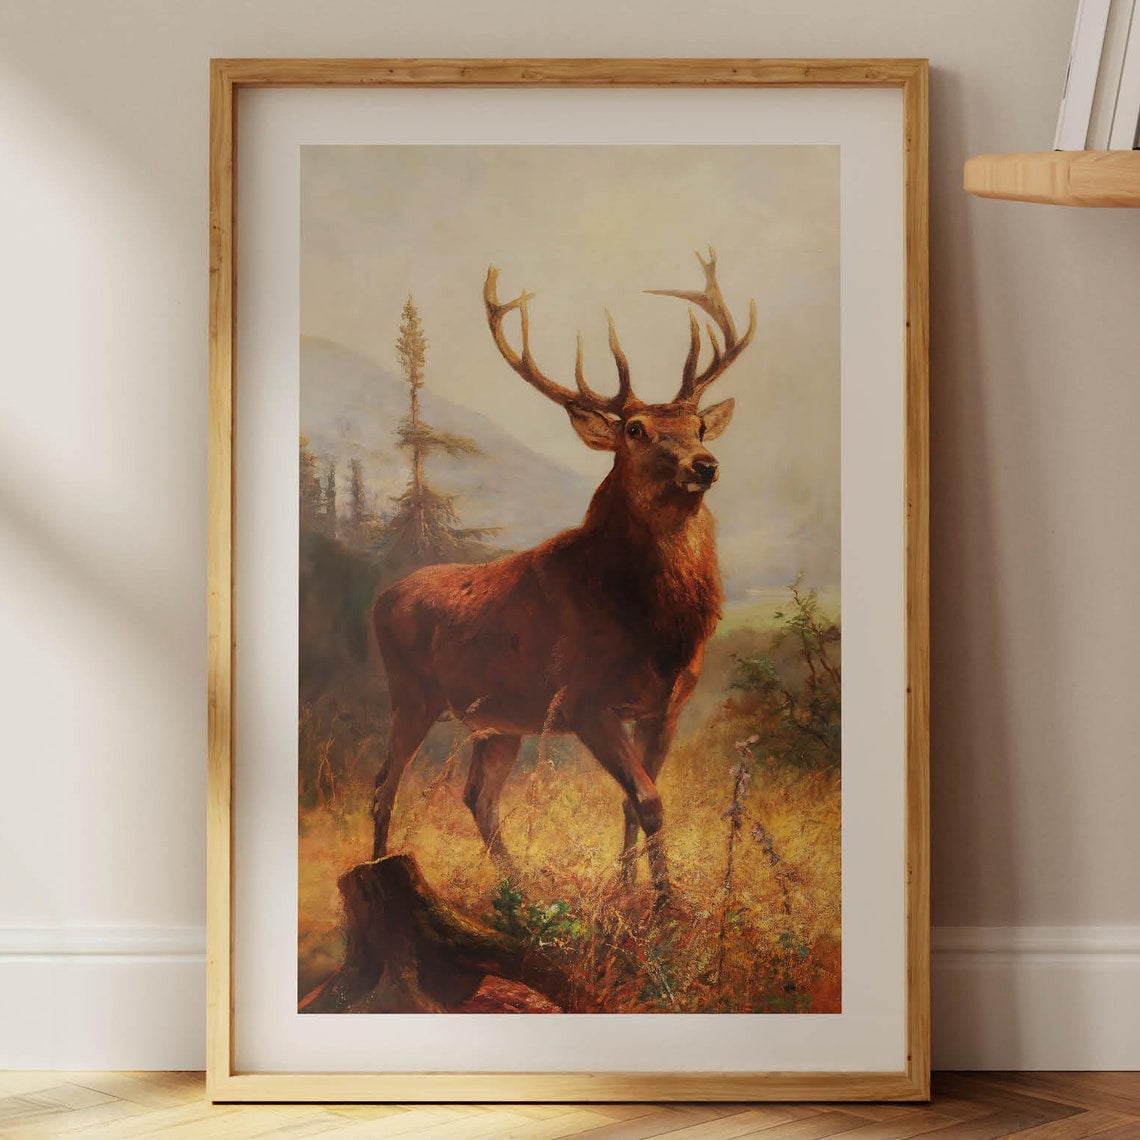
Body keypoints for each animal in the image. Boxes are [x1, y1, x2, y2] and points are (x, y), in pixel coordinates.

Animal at [369, 249, 756, 904]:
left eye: (700, 428)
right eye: (635, 430)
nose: (704, 465)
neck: (657, 630)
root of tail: (379, 597)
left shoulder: (664, 708)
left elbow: (635, 803)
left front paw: (633, 892)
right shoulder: (584, 700)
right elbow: (648, 800)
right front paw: (665, 904)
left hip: (496, 722)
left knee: (476, 796)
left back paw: (520, 888)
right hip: (411, 692)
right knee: (381, 786)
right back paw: (375, 872)